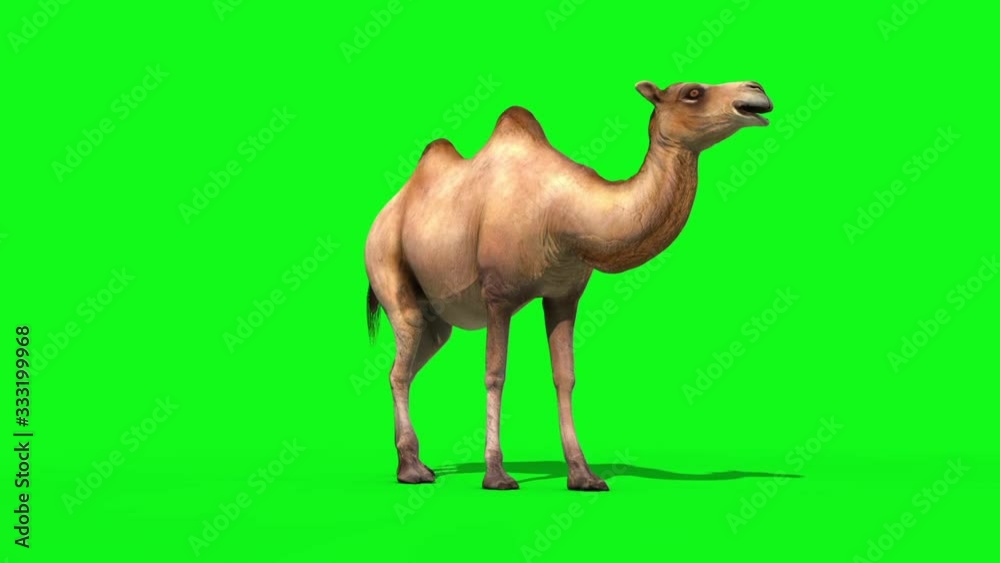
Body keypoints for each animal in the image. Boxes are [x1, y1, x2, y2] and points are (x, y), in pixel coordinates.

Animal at [364, 79, 773, 491]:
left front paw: (583, 474)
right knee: (400, 364)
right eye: (693, 92)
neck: (563, 212)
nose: (757, 90)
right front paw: (496, 474)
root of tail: (384, 214)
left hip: (438, 319)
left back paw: (421, 463)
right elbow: (496, 375)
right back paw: (411, 469)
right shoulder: (497, 295)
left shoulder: (564, 295)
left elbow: (565, 376)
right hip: (387, 265)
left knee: (412, 362)